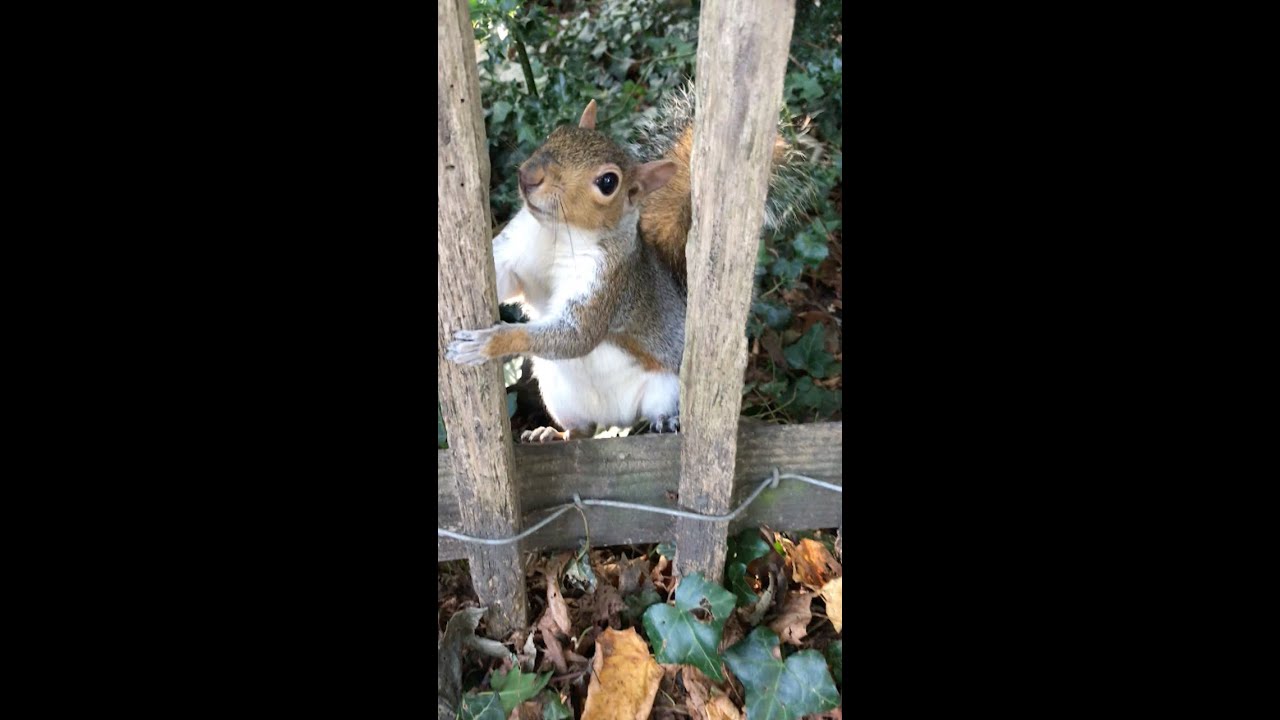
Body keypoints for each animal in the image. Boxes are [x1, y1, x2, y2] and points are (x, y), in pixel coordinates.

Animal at [445, 84, 815, 442]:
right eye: (556, 133)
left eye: (608, 182)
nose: (530, 176)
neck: (558, 233)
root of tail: (615, 420)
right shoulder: (518, 250)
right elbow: (504, 280)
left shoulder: (609, 283)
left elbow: (576, 335)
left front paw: (487, 343)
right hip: (558, 393)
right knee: (582, 431)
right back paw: (551, 434)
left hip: (665, 390)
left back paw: (666, 422)